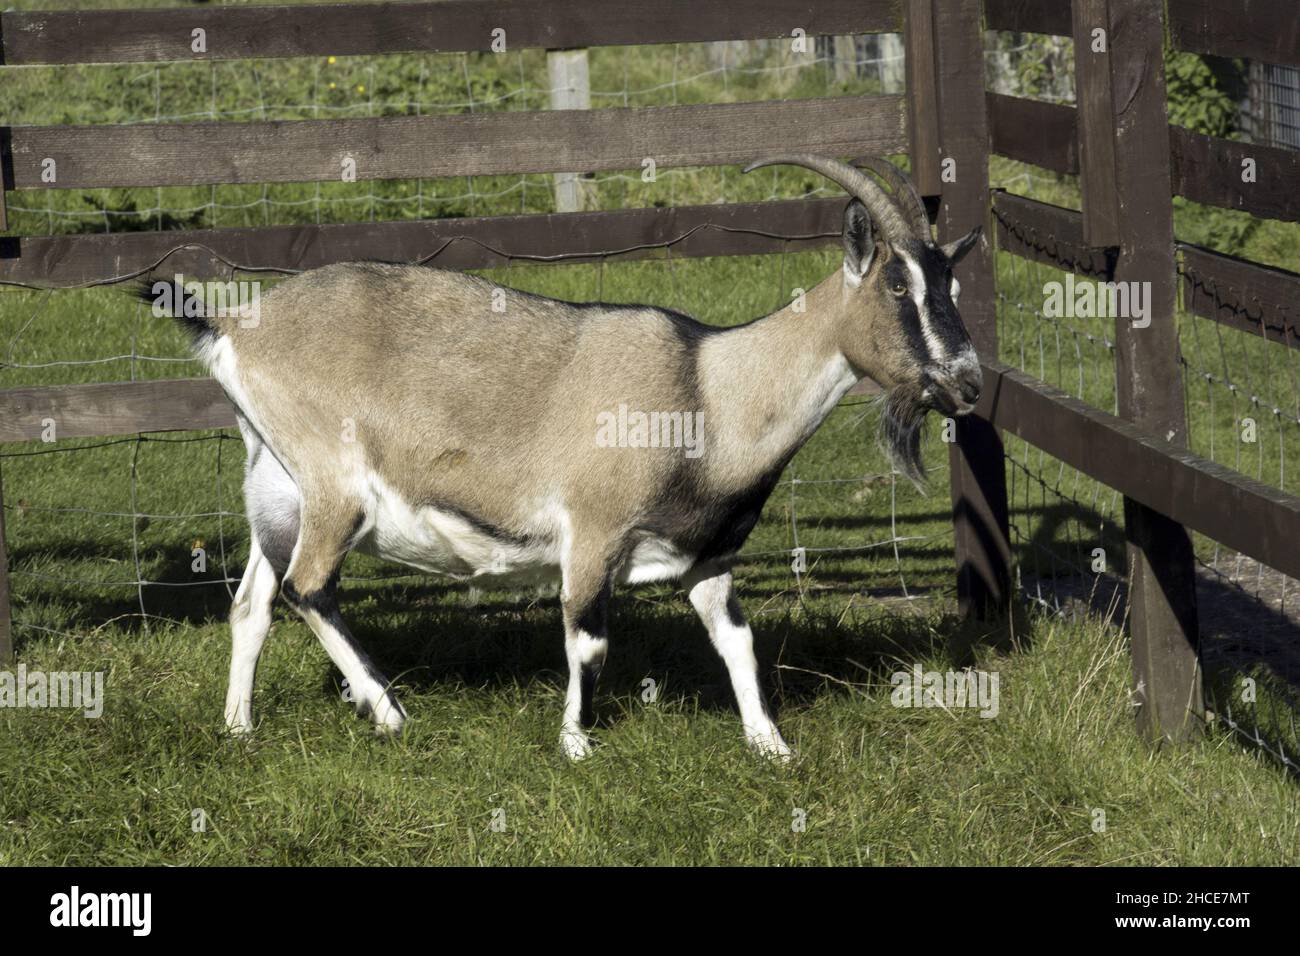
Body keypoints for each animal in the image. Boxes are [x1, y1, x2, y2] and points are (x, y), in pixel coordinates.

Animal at [165, 154, 984, 760]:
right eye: (897, 282)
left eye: (951, 281)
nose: (968, 382)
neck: (706, 387)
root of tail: (236, 324)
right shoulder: (592, 532)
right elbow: (587, 641)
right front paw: (575, 745)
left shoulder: (707, 556)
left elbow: (737, 641)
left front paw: (770, 747)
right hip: (335, 488)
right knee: (308, 587)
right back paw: (390, 711)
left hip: (278, 492)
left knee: (253, 603)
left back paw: (239, 727)